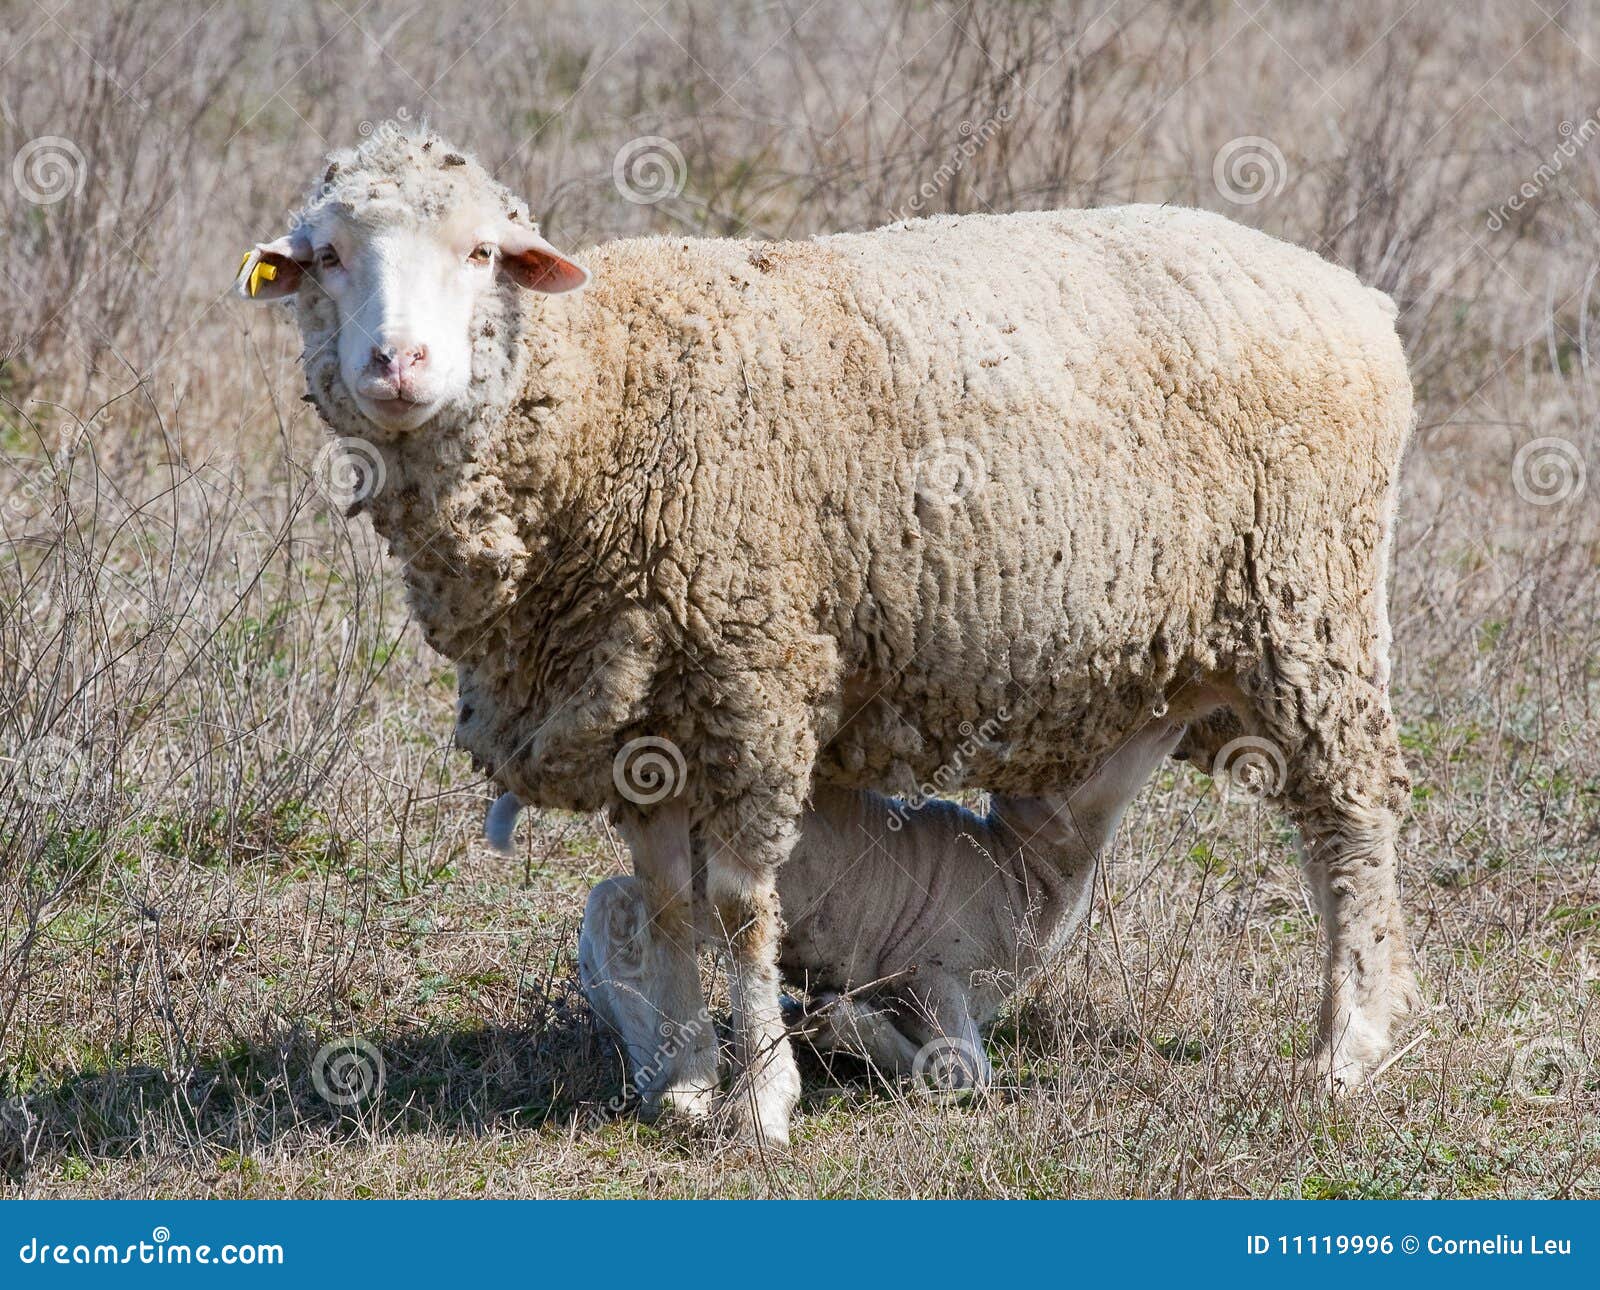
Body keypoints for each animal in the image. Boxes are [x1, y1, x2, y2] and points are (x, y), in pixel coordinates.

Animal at [238, 126, 1418, 1145]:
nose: (398, 363)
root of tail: (1356, 296)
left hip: (1310, 611)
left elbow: (738, 905)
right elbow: (668, 902)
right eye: (328, 257)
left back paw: (1348, 1049)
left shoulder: (750, 678)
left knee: (1350, 828)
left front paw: (763, 1101)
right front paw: (684, 1081)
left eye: (481, 253)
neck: (607, 398)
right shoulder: (642, 716)